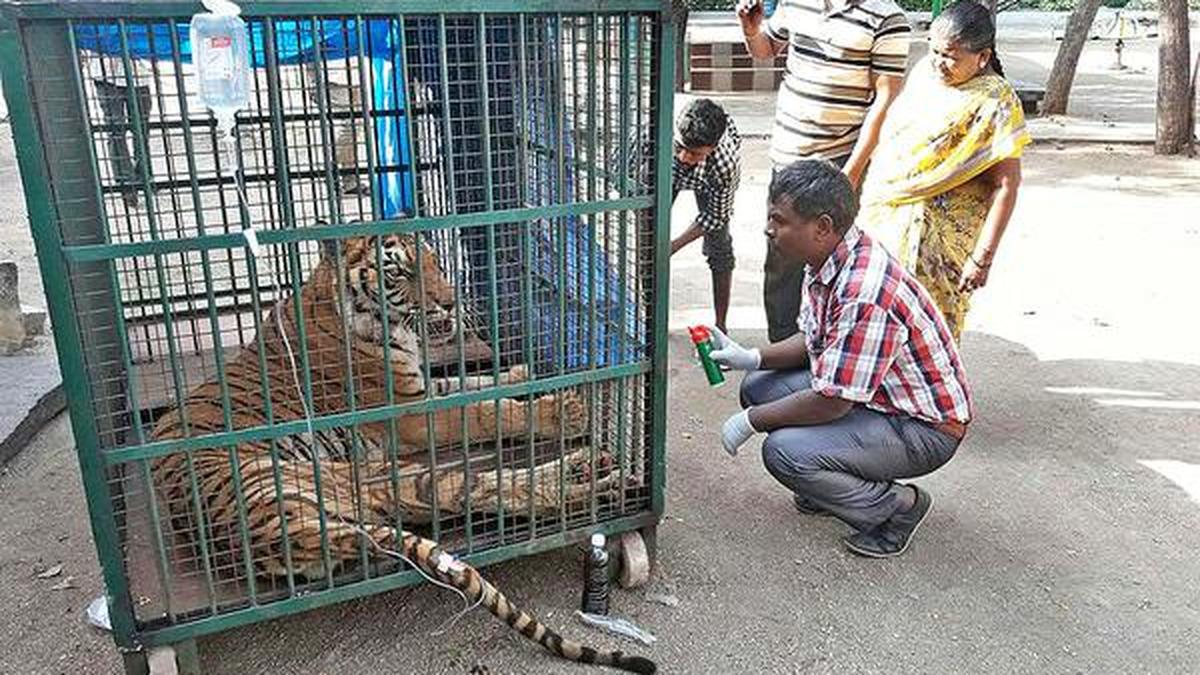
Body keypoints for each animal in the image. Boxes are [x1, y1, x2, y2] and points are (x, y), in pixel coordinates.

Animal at [149, 233, 655, 674]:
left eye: (434, 262)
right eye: (402, 270)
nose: (450, 302)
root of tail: (270, 535)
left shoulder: (424, 389)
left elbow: (471, 383)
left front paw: (518, 373)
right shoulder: (413, 415)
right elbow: (486, 411)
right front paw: (563, 410)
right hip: (384, 474)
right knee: (491, 490)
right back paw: (593, 475)